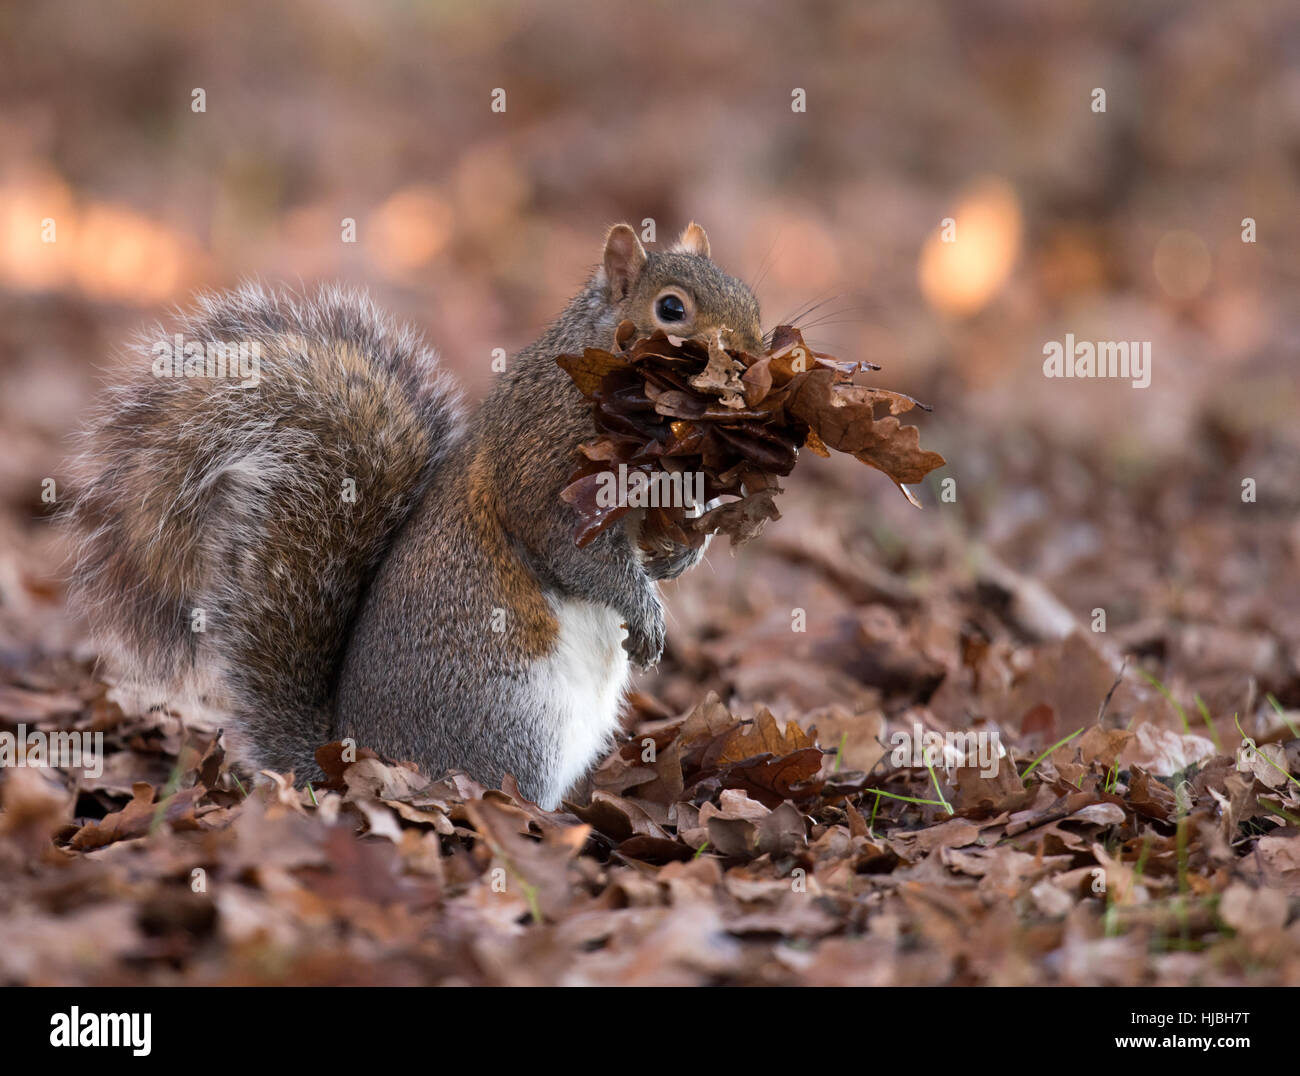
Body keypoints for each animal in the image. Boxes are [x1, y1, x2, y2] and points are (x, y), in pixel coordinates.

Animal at [68, 222, 763, 809]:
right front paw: (644, 611)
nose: (750, 361)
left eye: (751, 298)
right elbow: (568, 549)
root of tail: (346, 760)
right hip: (513, 718)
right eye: (670, 309)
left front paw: (680, 555)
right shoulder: (546, 461)